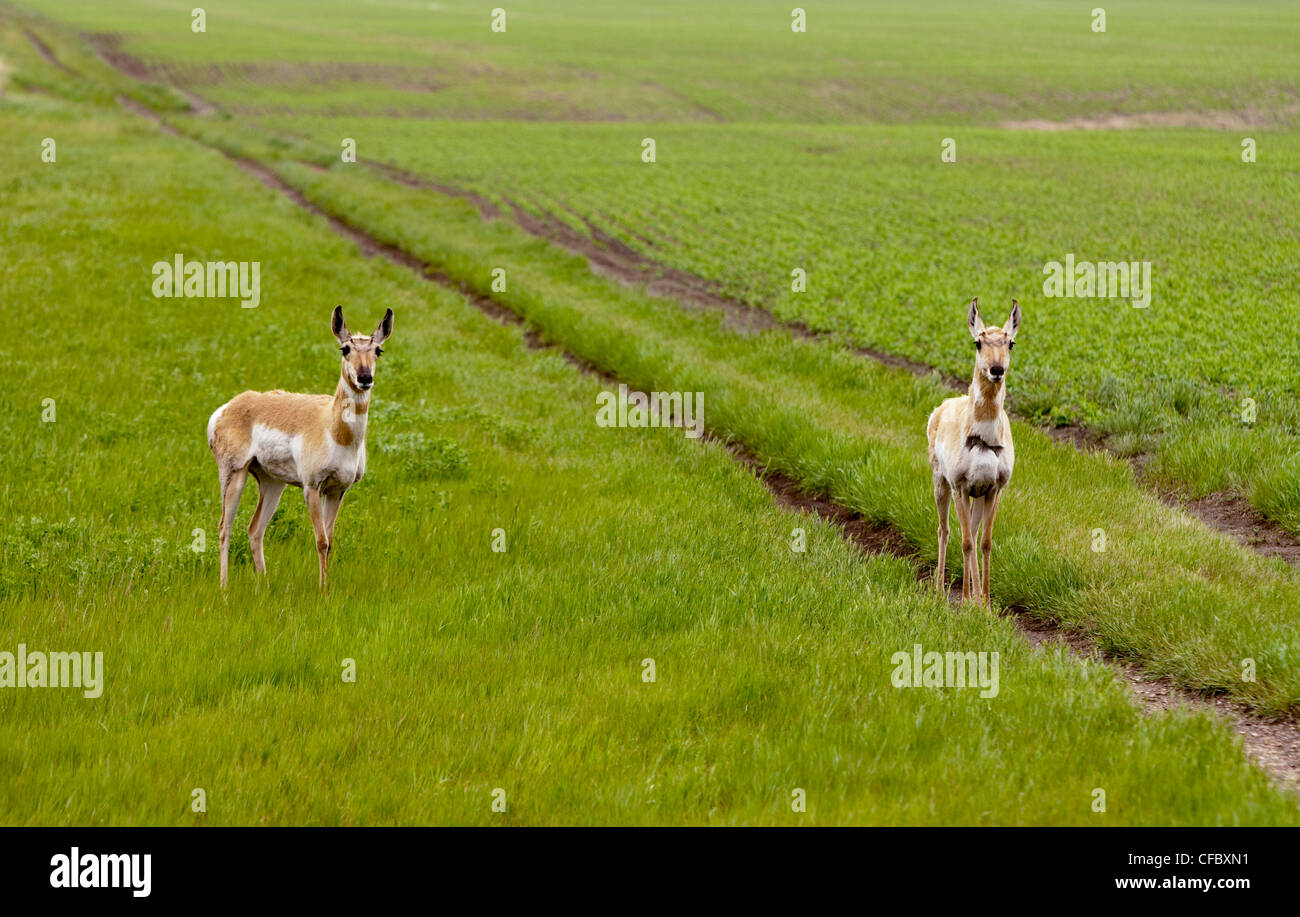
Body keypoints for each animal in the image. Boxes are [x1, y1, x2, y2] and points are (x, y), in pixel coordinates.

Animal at [207, 306, 394, 589]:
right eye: (345, 349)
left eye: (378, 350)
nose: (365, 378)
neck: (333, 427)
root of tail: (227, 408)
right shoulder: (312, 487)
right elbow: (321, 541)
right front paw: (322, 590)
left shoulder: (338, 490)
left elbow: (330, 541)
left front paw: (326, 587)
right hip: (233, 474)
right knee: (224, 528)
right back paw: (224, 588)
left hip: (273, 482)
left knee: (255, 529)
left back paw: (265, 584)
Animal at [926, 298, 1020, 607]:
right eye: (978, 342)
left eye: (1011, 342)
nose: (996, 369)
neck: (983, 440)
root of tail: (942, 407)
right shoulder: (960, 486)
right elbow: (966, 542)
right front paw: (966, 600)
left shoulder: (994, 489)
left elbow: (985, 542)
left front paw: (986, 604)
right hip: (940, 483)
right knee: (944, 530)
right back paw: (939, 590)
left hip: (976, 496)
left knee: (973, 531)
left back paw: (976, 597)